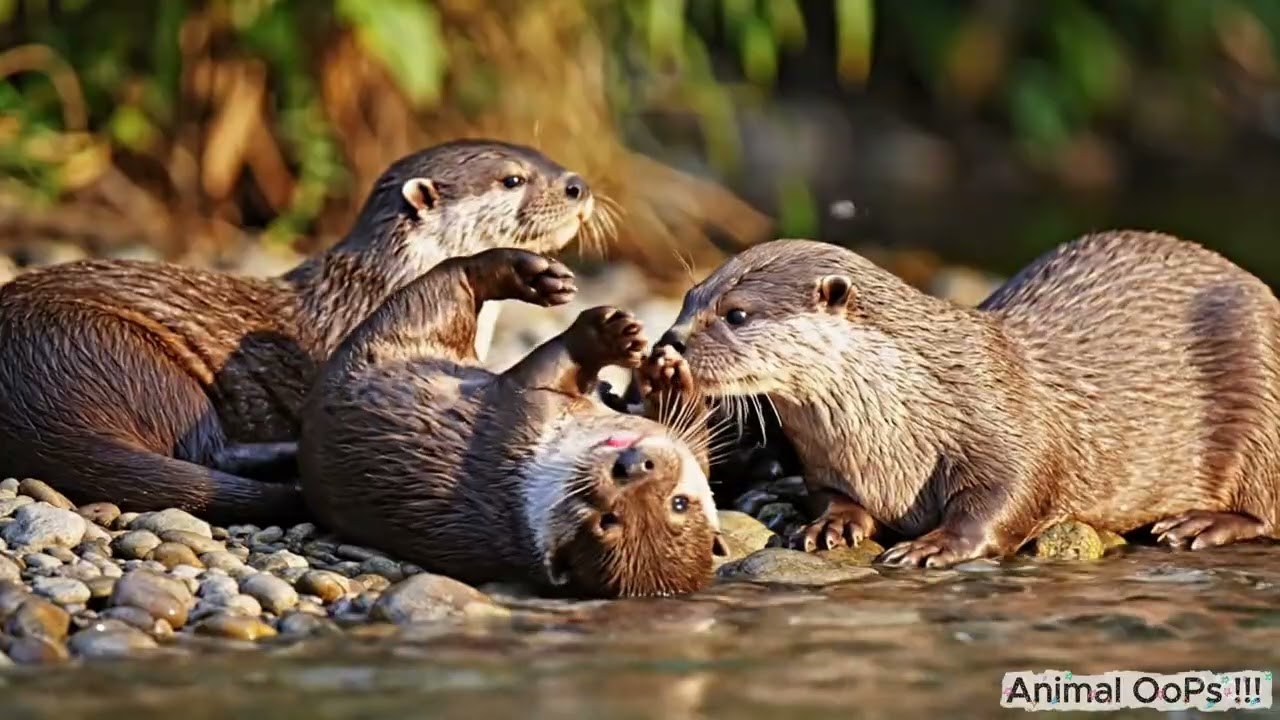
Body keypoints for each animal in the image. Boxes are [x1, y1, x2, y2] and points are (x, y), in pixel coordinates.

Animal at [0, 140, 598, 525]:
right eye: (513, 178)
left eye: (546, 157)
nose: (578, 184)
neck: (369, 290)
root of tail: (25, 392)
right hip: (130, 354)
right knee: (205, 450)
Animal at [298, 248, 724, 598]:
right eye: (680, 503)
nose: (633, 468)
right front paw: (661, 374)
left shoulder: (523, 413)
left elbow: (548, 361)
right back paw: (539, 276)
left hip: (411, 320)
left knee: (446, 283)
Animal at [653, 231, 1280, 567]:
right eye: (688, 298)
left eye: (736, 314)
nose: (669, 341)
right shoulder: (828, 460)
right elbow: (831, 496)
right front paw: (829, 526)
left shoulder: (1006, 422)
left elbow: (1007, 498)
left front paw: (932, 547)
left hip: (1263, 398)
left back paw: (1199, 525)